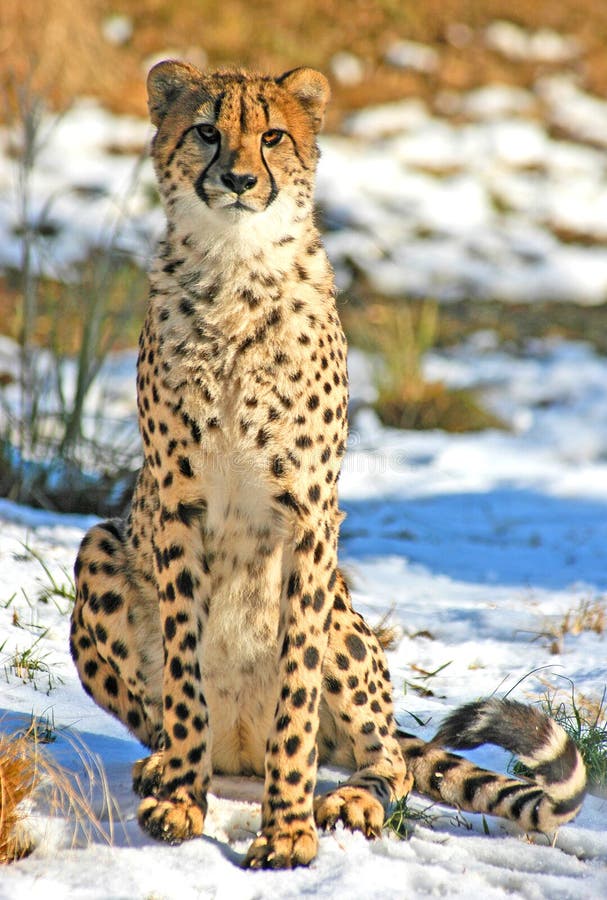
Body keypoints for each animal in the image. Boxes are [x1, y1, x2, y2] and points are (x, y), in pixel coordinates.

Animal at [70, 60, 587, 869]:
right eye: (206, 130)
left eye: (273, 135)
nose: (240, 179)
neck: (235, 268)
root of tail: (238, 751)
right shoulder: (178, 509)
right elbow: (184, 674)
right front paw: (182, 796)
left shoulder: (309, 517)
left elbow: (297, 691)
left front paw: (287, 829)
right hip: (99, 546)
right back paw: (168, 765)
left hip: (346, 623)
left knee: (390, 758)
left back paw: (349, 795)